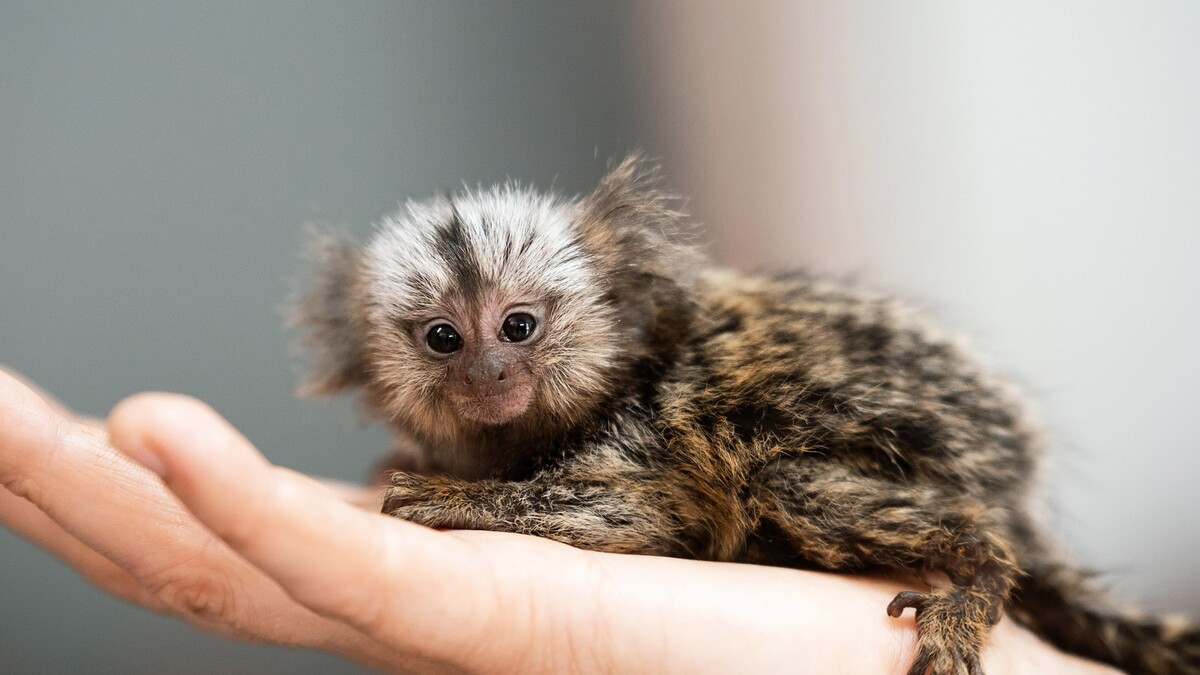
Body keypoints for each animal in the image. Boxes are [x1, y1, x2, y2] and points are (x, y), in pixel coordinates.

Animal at [292, 155, 1200, 675]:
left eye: (518, 327)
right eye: (444, 338)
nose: (488, 373)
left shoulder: (638, 436)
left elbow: (639, 513)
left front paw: (454, 497)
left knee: (789, 481)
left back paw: (976, 573)